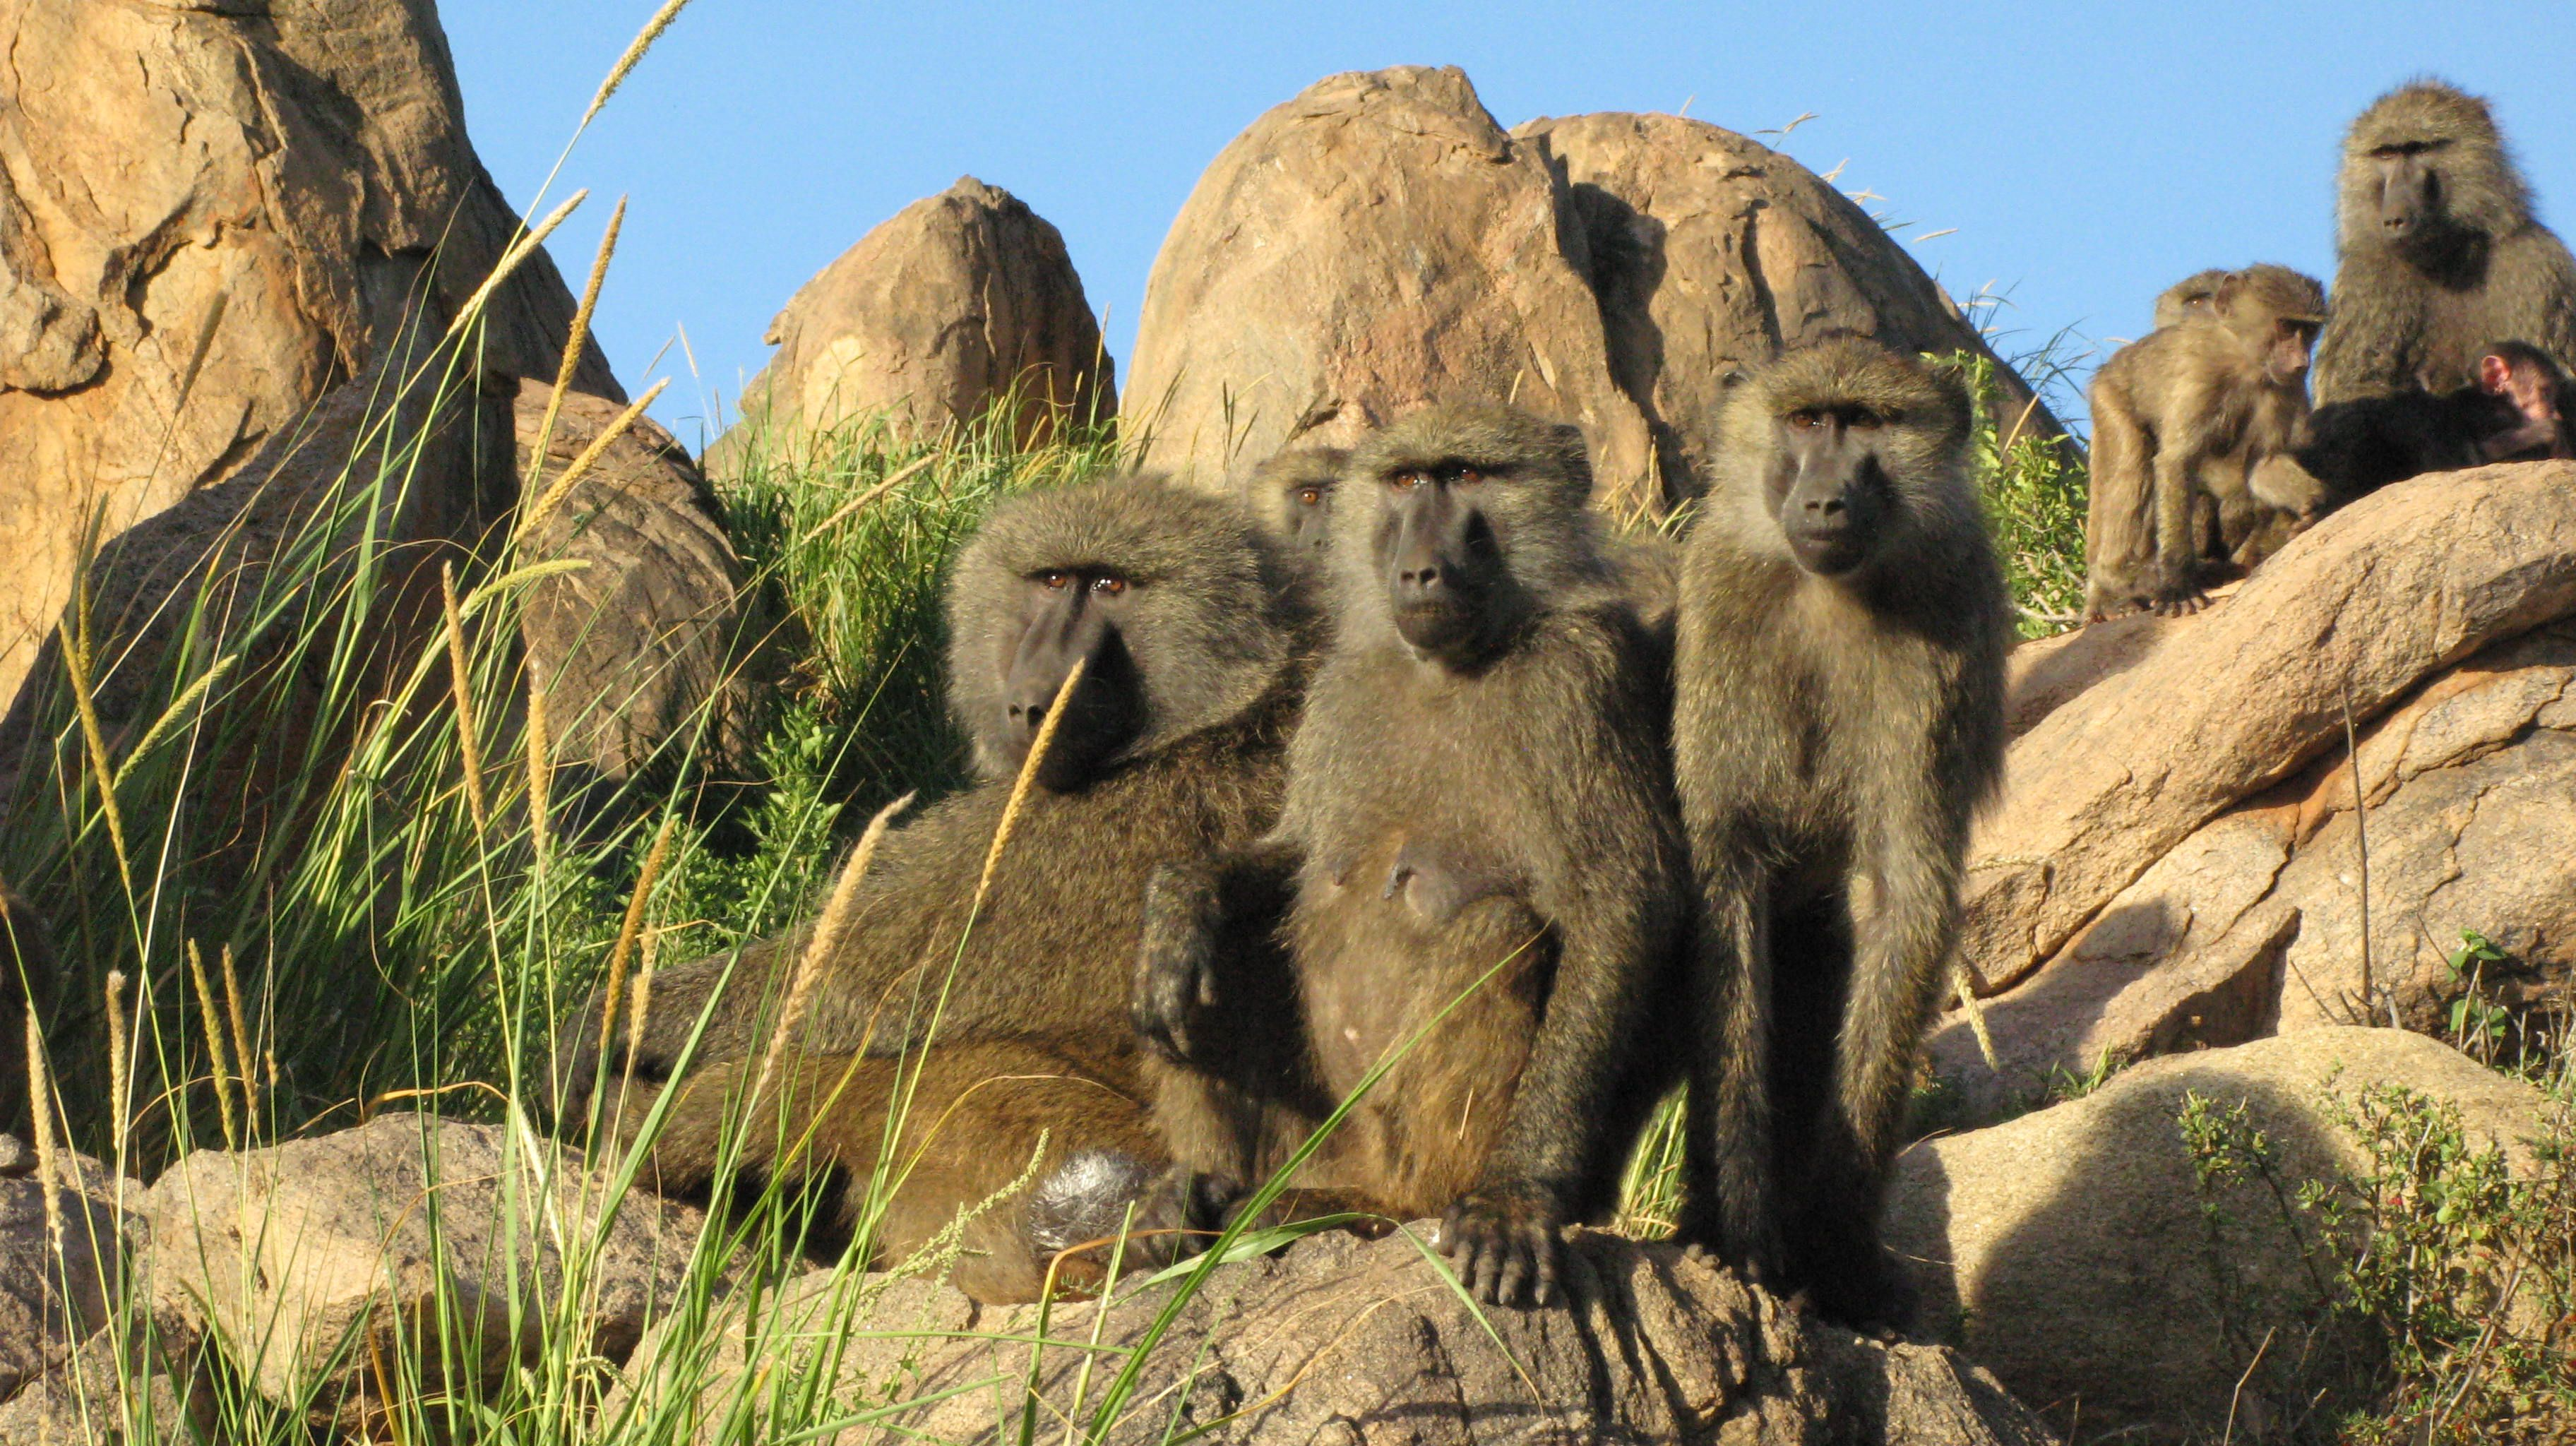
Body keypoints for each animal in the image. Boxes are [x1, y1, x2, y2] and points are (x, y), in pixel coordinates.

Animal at [555, 475, 1316, 1301]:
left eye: (1111, 587)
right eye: (1053, 580)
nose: (1038, 694)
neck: (1222, 712)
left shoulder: (1071, 835)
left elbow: (855, 987)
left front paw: (602, 1027)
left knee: (843, 1074)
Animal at [1131, 403, 1687, 1308]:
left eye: (1466, 476)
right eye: (1403, 481)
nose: (1420, 569)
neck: (1446, 665)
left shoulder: (1580, 681)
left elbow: (1618, 908)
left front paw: (1515, 1198)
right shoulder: (1334, 690)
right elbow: (1293, 855)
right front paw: (1180, 904)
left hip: (1395, 1145)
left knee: (1497, 928)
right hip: (1318, 1133)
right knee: (1201, 979)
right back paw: (1197, 1192)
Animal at [1668, 338, 2009, 1330]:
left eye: (1868, 423)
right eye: (1807, 420)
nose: (1825, 500)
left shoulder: (1940, 632)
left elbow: (1903, 898)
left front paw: (1838, 1247)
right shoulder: (1721, 611)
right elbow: (1726, 882)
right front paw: (1742, 1225)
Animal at [2083, 264, 2327, 620]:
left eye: (2308, 330)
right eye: (2285, 326)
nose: (2301, 363)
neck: (2241, 360)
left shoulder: (2281, 389)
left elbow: (2263, 465)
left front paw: (2312, 507)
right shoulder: (2200, 376)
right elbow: (2176, 462)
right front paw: (2178, 583)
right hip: (2109, 397)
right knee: (2131, 467)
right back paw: (2119, 577)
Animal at [2311, 81, 2576, 408]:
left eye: (2420, 148)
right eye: (2386, 154)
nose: (2395, 218)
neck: (2448, 259)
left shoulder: (2541, 263)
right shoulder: (2365, 278)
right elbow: (2352, 392)